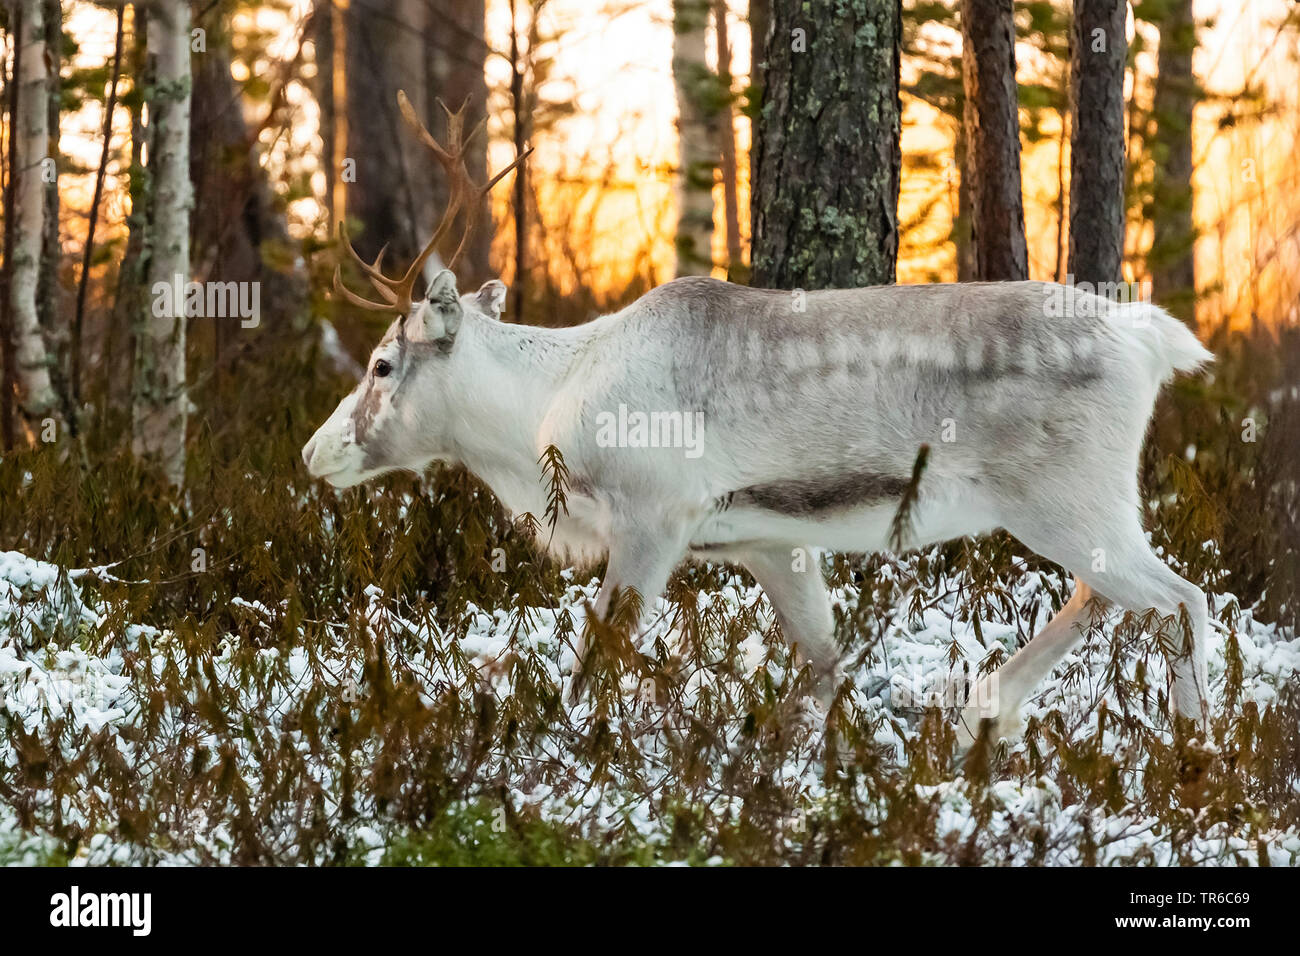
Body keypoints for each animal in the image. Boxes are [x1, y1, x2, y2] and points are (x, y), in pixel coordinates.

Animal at [302, 91, 1214, 751]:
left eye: (383, 365)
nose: (314, 451)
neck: (545, 407)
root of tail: (1147, 336)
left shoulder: (653, 518)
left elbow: (594, 659)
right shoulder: (772, 541)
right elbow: (824, 665)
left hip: (1067, 499)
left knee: (1179, 599)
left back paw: (1193, 747)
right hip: (1082, 506)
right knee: (1108, 596)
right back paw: (985, 708)